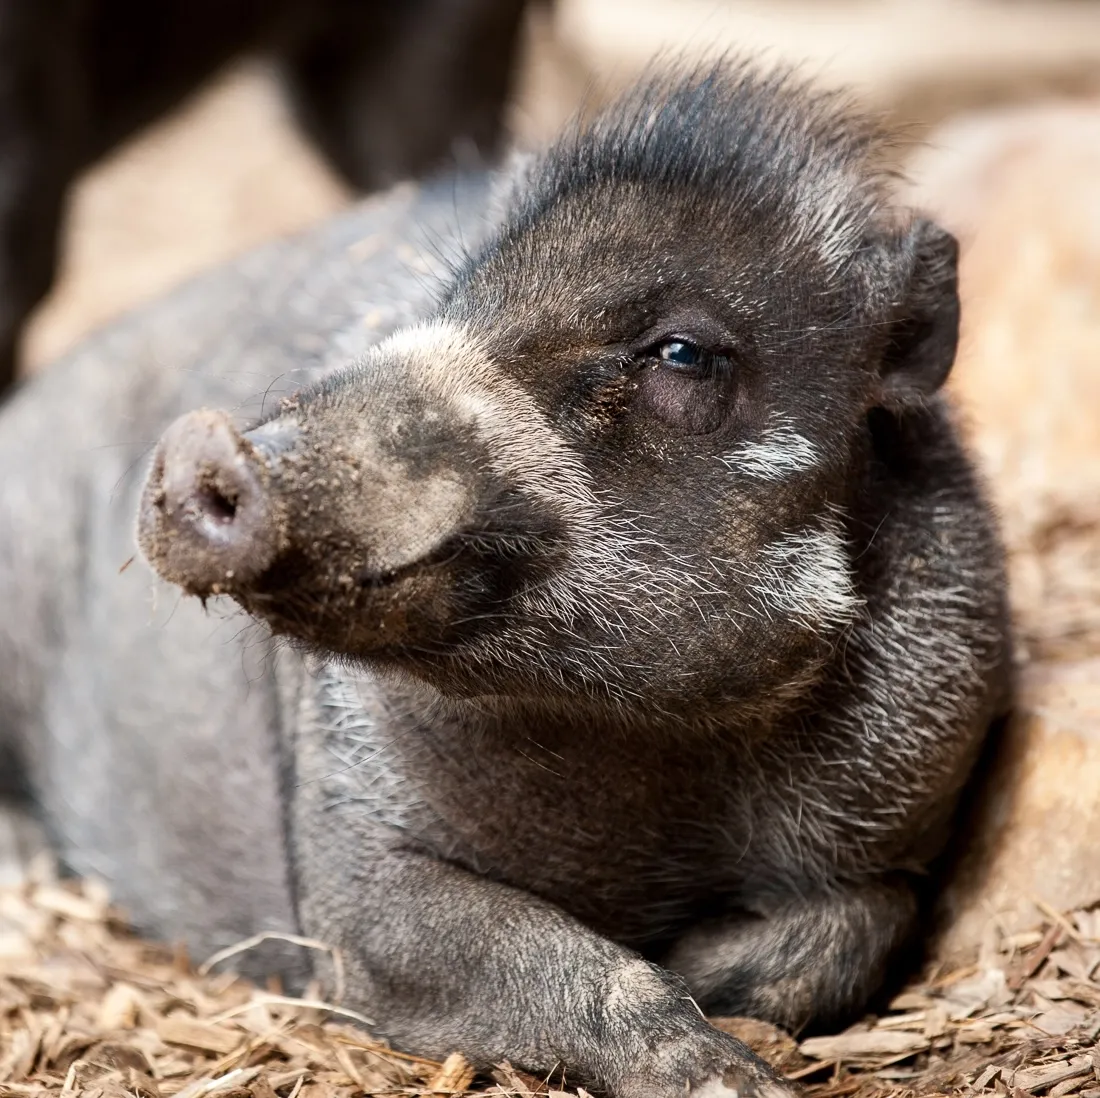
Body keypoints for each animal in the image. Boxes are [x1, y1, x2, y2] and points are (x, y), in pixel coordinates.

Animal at [0, 61, 1012, 1098]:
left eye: (684, 353)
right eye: (457, 299)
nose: (201, 440)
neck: (648, 760)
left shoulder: (903, 824)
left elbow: (855, 924)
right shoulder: (353, 865)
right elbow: (557, 959)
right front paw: (730, 1074)